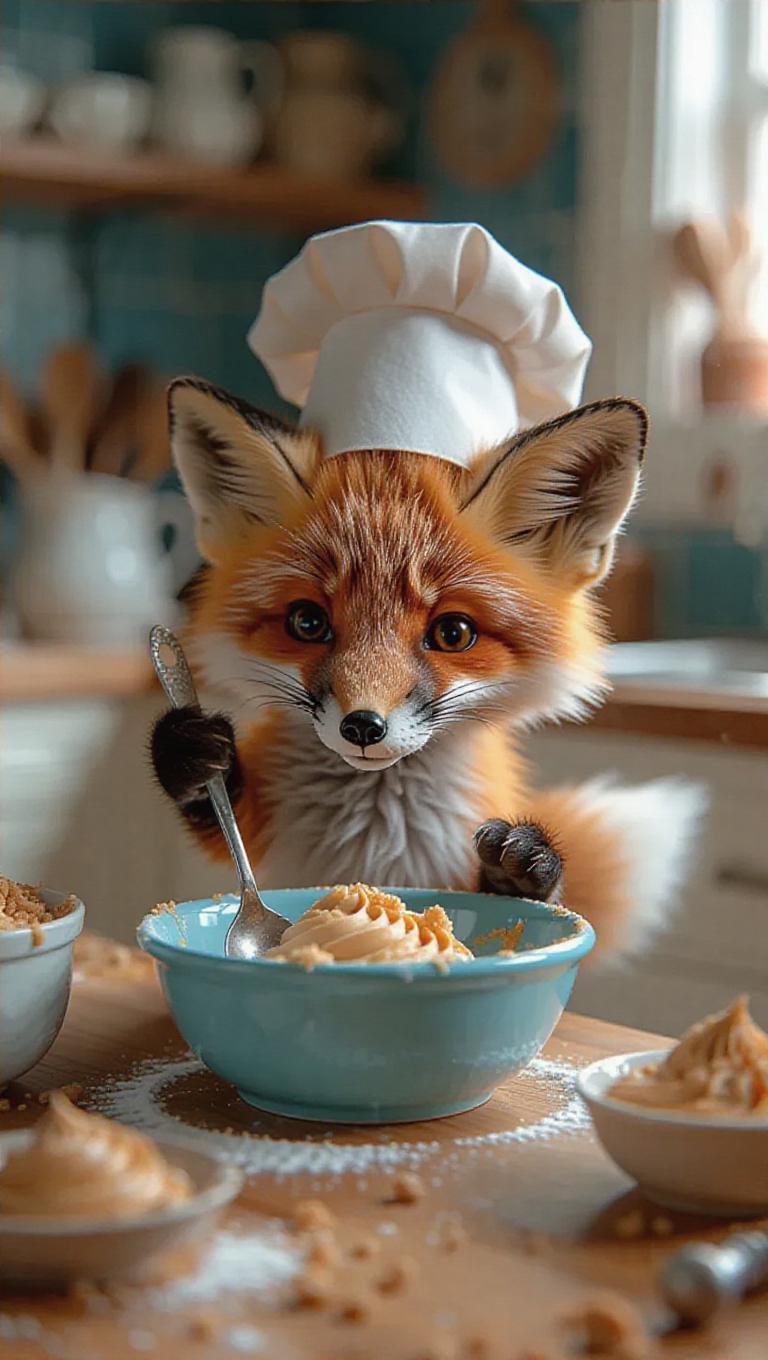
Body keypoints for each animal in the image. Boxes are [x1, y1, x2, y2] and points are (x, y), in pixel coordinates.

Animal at [151, 378, 703, 960]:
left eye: (453, 633)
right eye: (307, 622)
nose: (363, 726)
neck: (375, 833)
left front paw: (521, 871)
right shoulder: (266, 833)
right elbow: (224, 823)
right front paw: (188, 750)